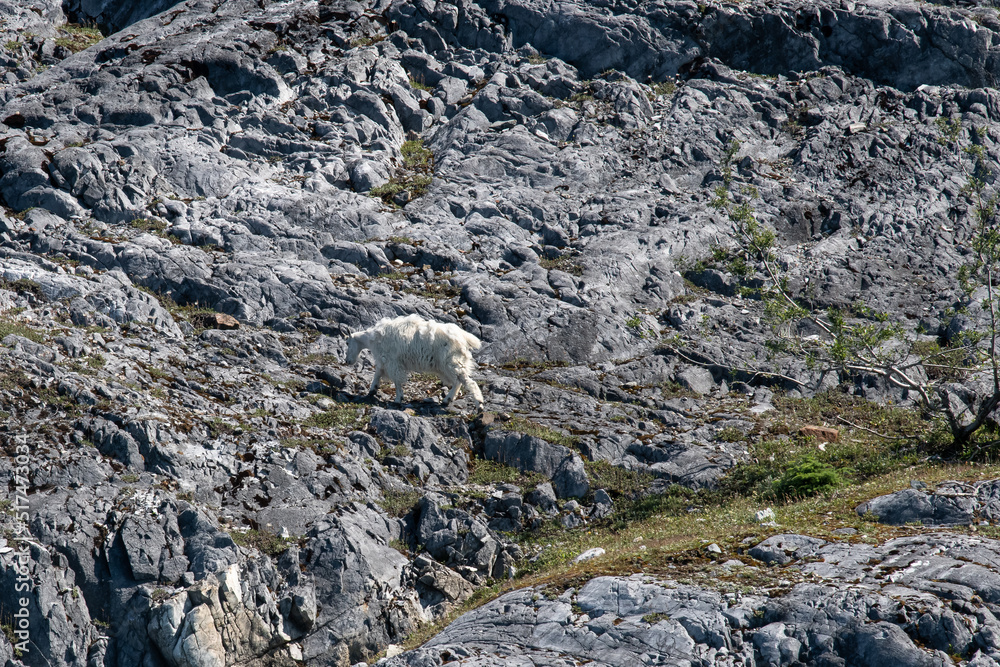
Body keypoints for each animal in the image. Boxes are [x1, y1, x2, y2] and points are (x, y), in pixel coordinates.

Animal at [345, 314, 484, 409]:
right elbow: (377, 373)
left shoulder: (393, 362)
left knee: (468, 382)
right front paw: (372, 390)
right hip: (449, 365)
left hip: (452, 362)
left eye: (347, 342)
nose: (347, 361)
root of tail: (464, 338)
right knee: (458, 382)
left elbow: (396, 381)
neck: (373, 338)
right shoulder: (384, 361)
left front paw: (398, 399)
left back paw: (479, 405)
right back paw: (447, 400)